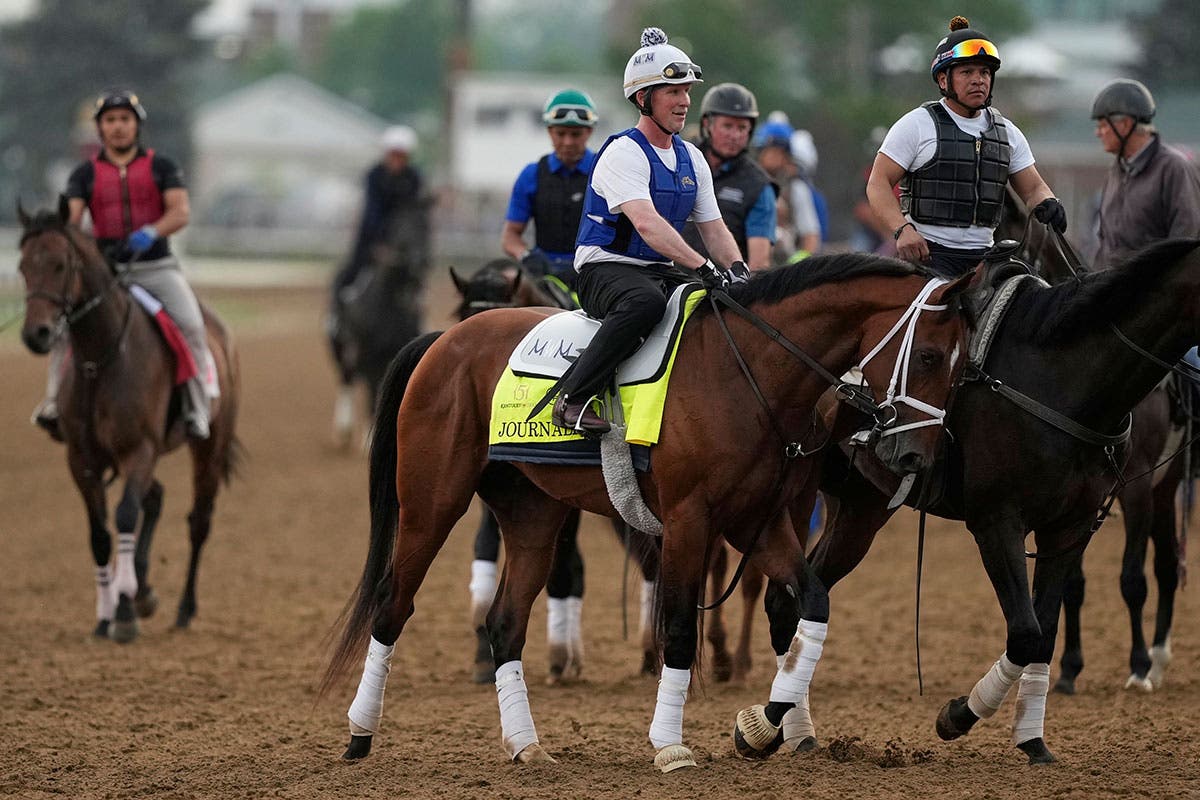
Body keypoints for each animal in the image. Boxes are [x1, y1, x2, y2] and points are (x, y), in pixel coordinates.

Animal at [17, 198, 241, 643]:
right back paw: (143, 589)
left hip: (208, 446)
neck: (100, 358)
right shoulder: (83, 458)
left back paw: (183, 608)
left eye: (60, 265)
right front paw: (107, 614)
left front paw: (122, 612)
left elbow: (123, 515)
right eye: (22, 267)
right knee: (154, 499)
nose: (37, 334)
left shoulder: (139, 449)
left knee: (198, 521)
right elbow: (100, 534)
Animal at [320, 253, 976, 771]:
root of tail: (443, 340)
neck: (746, 369)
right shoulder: (689, 521)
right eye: (929, 355)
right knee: (393, 603)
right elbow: (680, 626)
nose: (916, 455)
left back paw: (526, 745)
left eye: (961, 366)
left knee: (506, 622)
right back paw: (360, 733)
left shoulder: (758, 523)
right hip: (432, 504)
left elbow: (808, 605)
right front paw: (670, 743)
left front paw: (761, 727)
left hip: (533, 514)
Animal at [329, 199, 430, 447]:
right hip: (339, 347)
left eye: (426, 224)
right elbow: (372, 392)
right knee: (346, 377)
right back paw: (343, 430)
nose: (420, 261)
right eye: (401, 225)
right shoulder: (368, 356)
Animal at [801, 238, 1200, 764]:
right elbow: (1026, 631)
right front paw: (957, 715)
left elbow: (1044, 630)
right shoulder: (997, 523)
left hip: (858, 510)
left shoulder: (1069, 528)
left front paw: (1033, 740)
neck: (1060, 379)